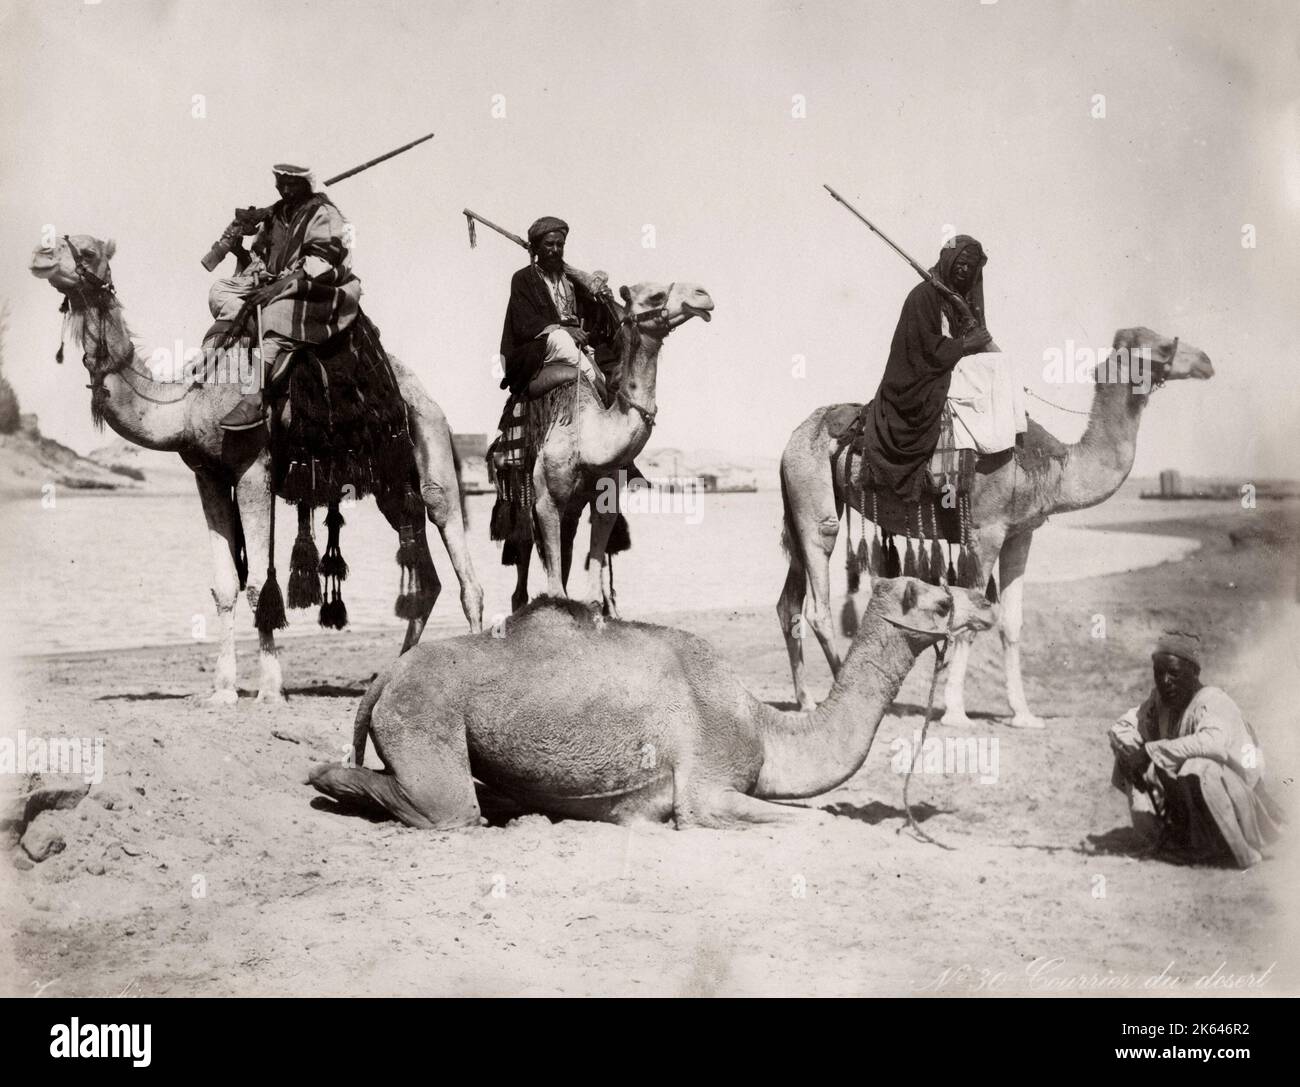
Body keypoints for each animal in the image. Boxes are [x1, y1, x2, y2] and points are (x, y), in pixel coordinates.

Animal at [29, 234, 484, 703]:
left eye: (87, 251)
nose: (40, 255)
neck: (191, 401)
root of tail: (428, 399)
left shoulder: (252, 470)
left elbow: (255, 586)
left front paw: (269, 688)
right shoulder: (208, 475)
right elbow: (224, 585)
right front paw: (223, 690)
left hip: (430, 444)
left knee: (452, 538)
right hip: (392, 483)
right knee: (425, 575)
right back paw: (395, 674)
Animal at [308, 577, 995, 828]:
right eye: (941, 601)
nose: (985, 601)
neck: (763, 726)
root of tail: (384, 677)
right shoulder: (706, 788)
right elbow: (813, 820)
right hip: (426, 717)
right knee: (444, 807)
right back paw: (328, 781)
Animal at [509, 282, 714, 615]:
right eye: (655, 296)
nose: (703, 295)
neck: (589, 439)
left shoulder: (606, 501)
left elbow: (592, 593)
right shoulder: (546, 500)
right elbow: (556, 595)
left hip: (572, 509)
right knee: (521, 569)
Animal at [776, 328, 1214, 727]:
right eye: (1162, 345)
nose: (1207, 361)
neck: (1052, 467)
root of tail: (792, 440)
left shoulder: (1020, 533)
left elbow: (1012, 623)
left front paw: (1024, 715)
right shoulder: (984, 532)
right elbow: (969, 618)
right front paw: (955, 712)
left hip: (801, 508)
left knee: (789, 605)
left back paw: (807, 701)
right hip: (814, 503)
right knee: (818, 600)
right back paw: (847, 694)